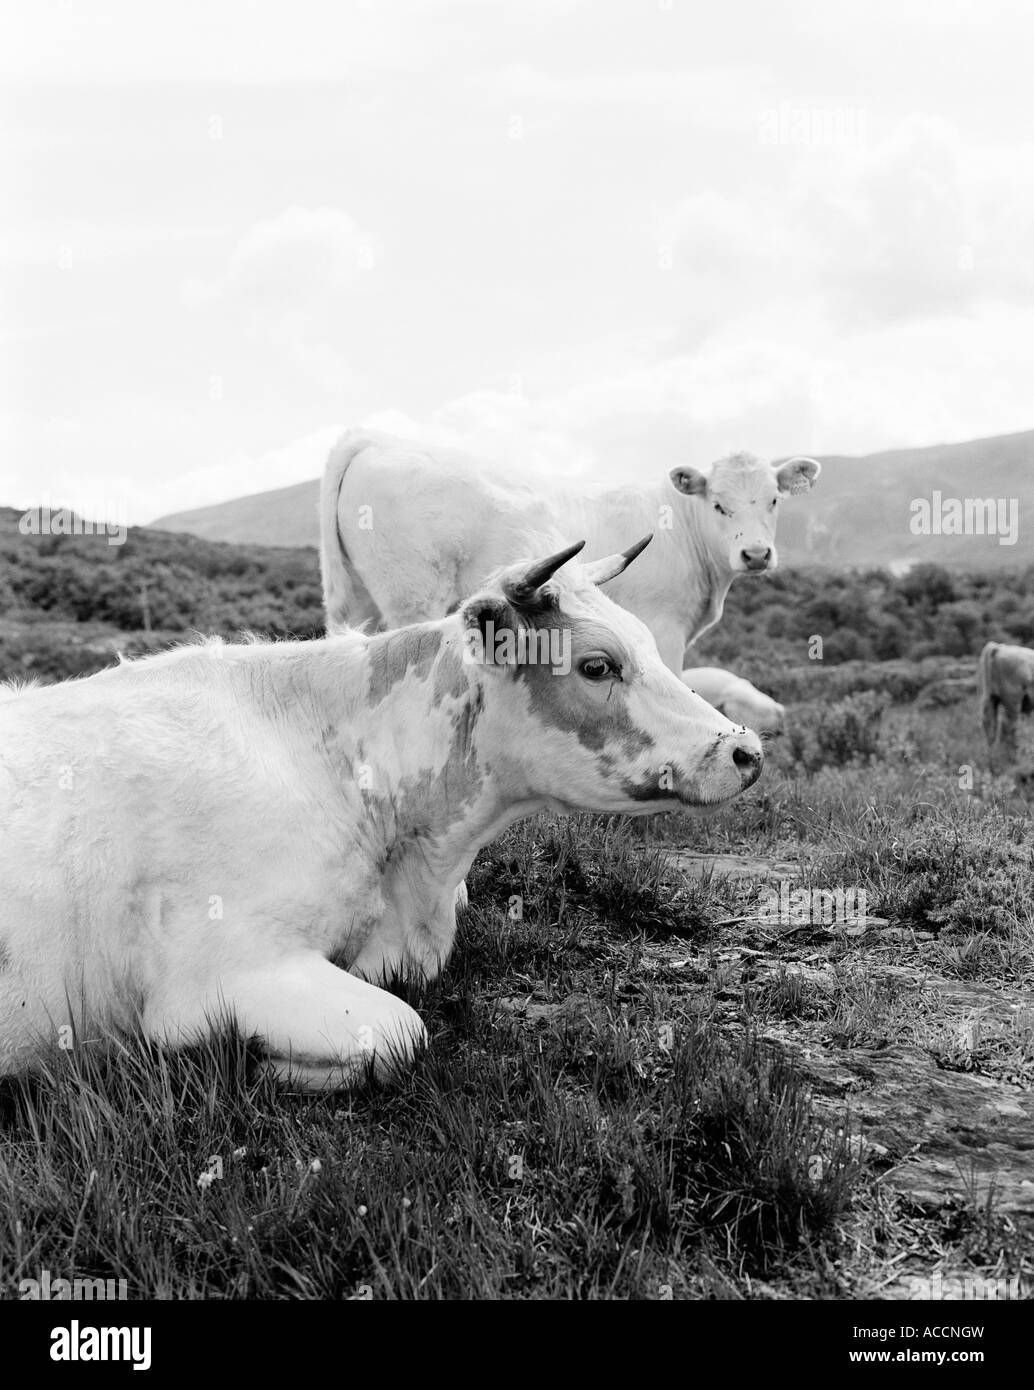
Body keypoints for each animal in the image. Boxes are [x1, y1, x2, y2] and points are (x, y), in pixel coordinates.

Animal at [319, 429, 821, 672]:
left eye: (774, 500)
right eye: (719, 504)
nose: (755, 554)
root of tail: (375, 438)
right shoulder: (664, 625)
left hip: (355, 596)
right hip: (412, 594)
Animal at [979, 640, 1034, 768]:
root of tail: (999, 647)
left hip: (991, 697)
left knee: (991, 727)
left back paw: (993, 762)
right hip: (1013, 702)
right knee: (1008, 726)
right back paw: (1011, 760)